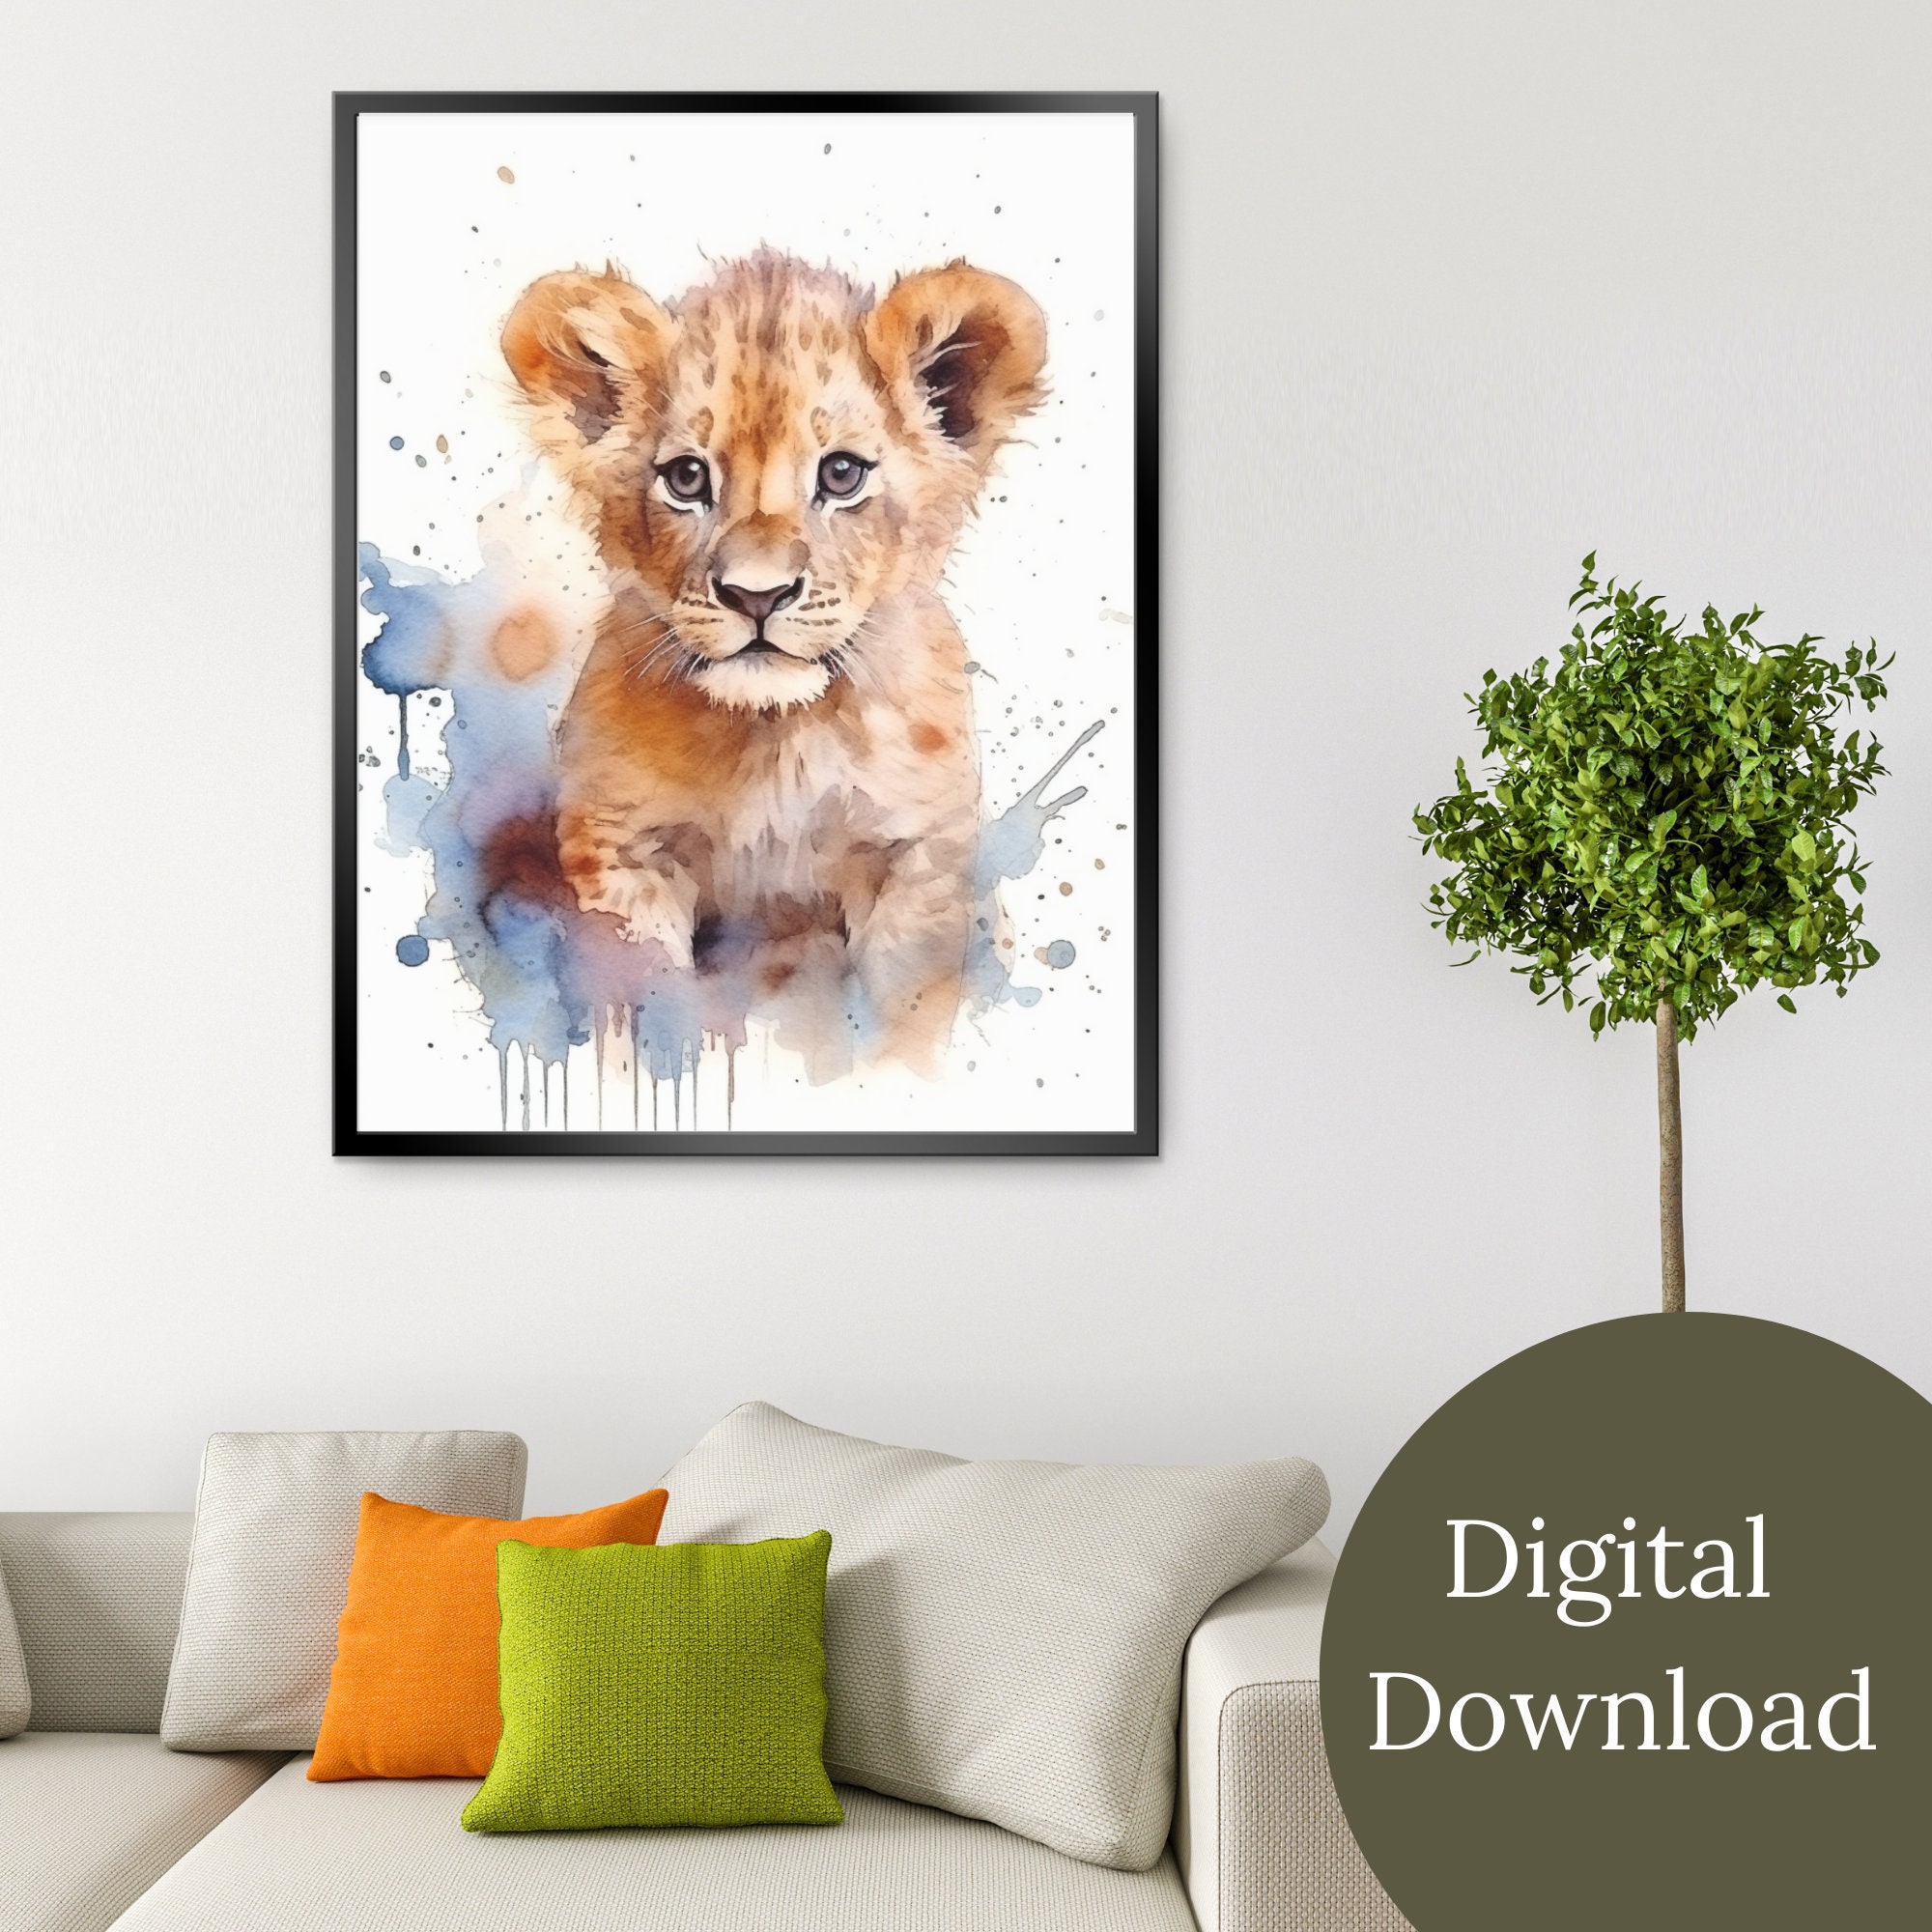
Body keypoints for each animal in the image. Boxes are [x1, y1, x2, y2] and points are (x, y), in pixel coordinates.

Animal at [498, 249, 1047, 1072]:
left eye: (842, 474)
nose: (755, 596)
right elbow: (638, 1008)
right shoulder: (626, 854)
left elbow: (906, 1023)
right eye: (687, 478)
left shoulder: (913, 859)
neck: (778, 736)